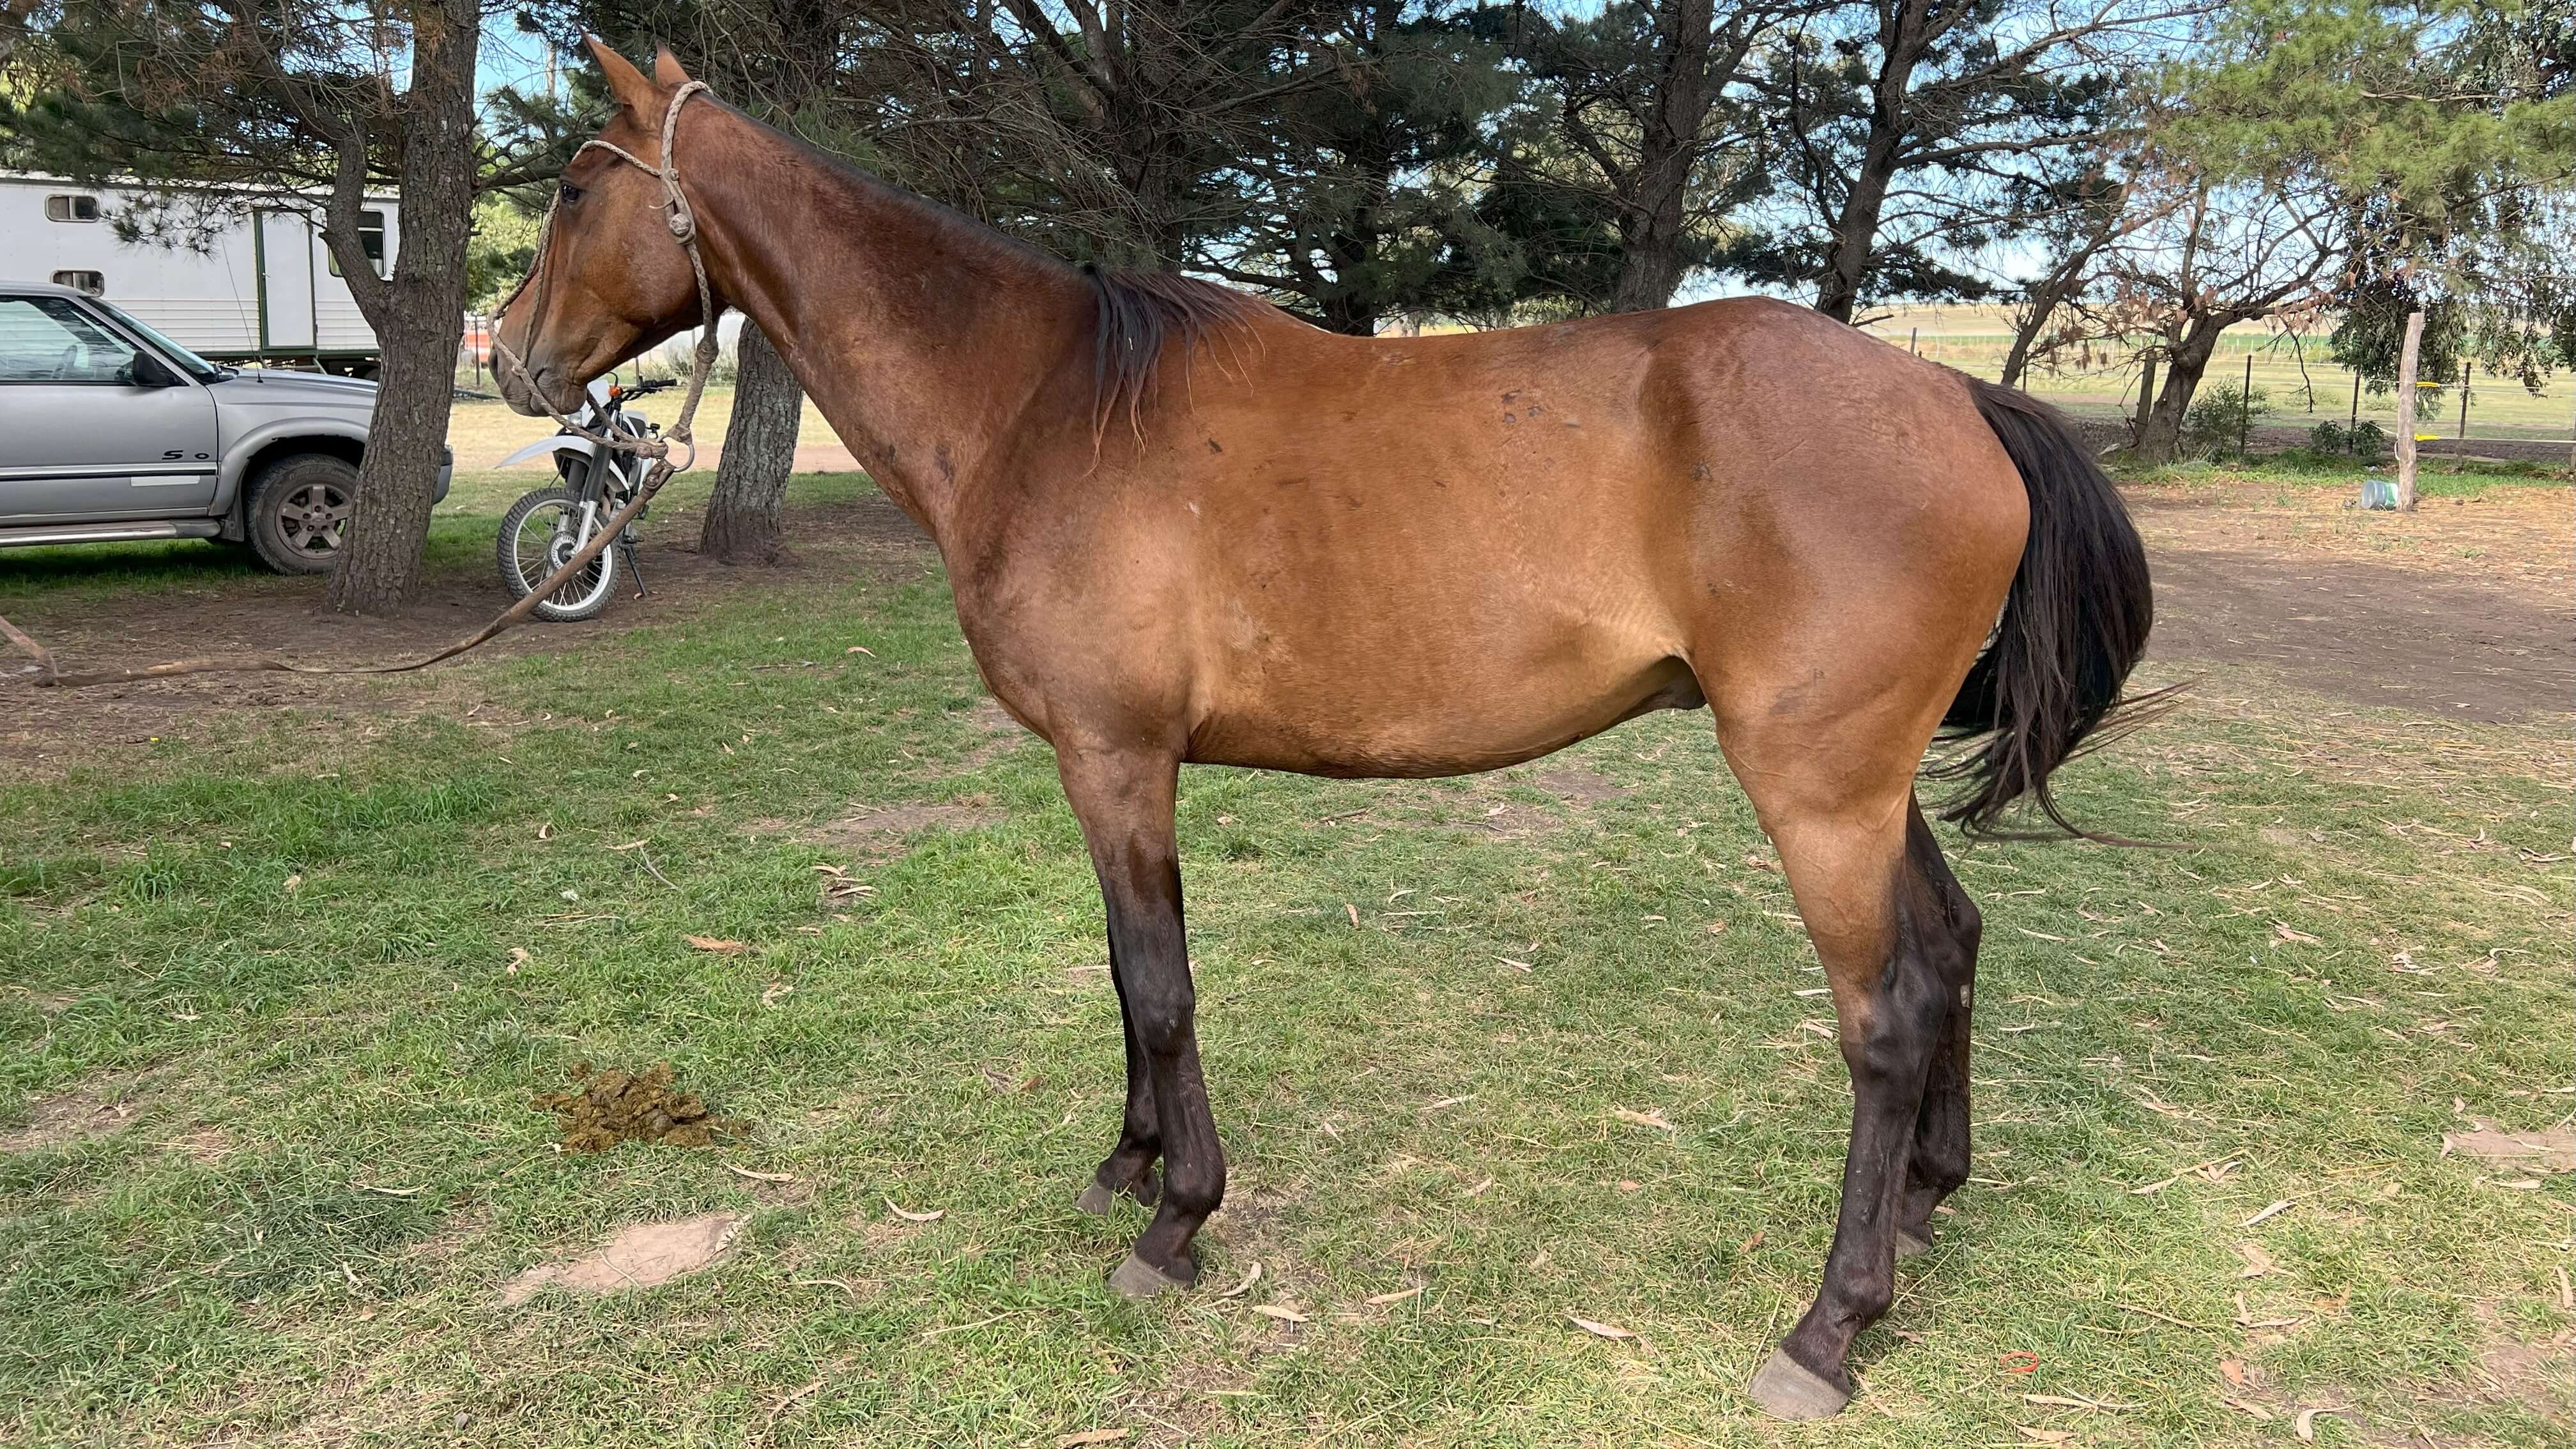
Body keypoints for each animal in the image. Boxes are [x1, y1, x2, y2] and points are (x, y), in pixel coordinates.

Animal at [496, 39, 2160, 1421]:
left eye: (577, 185)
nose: (508, 359)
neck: (1043, 404)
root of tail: (1956, 399)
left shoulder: (1118, 761)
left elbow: (1160, 990)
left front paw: (1177, 1221)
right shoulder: (1105, 773)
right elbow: (1127, 981)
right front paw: (1128, 1168)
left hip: (1816, 792)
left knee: (1885, 1017)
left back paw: (1830, 1325)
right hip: (1868, 789)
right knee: (1951, 946)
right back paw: (1928, 1207)